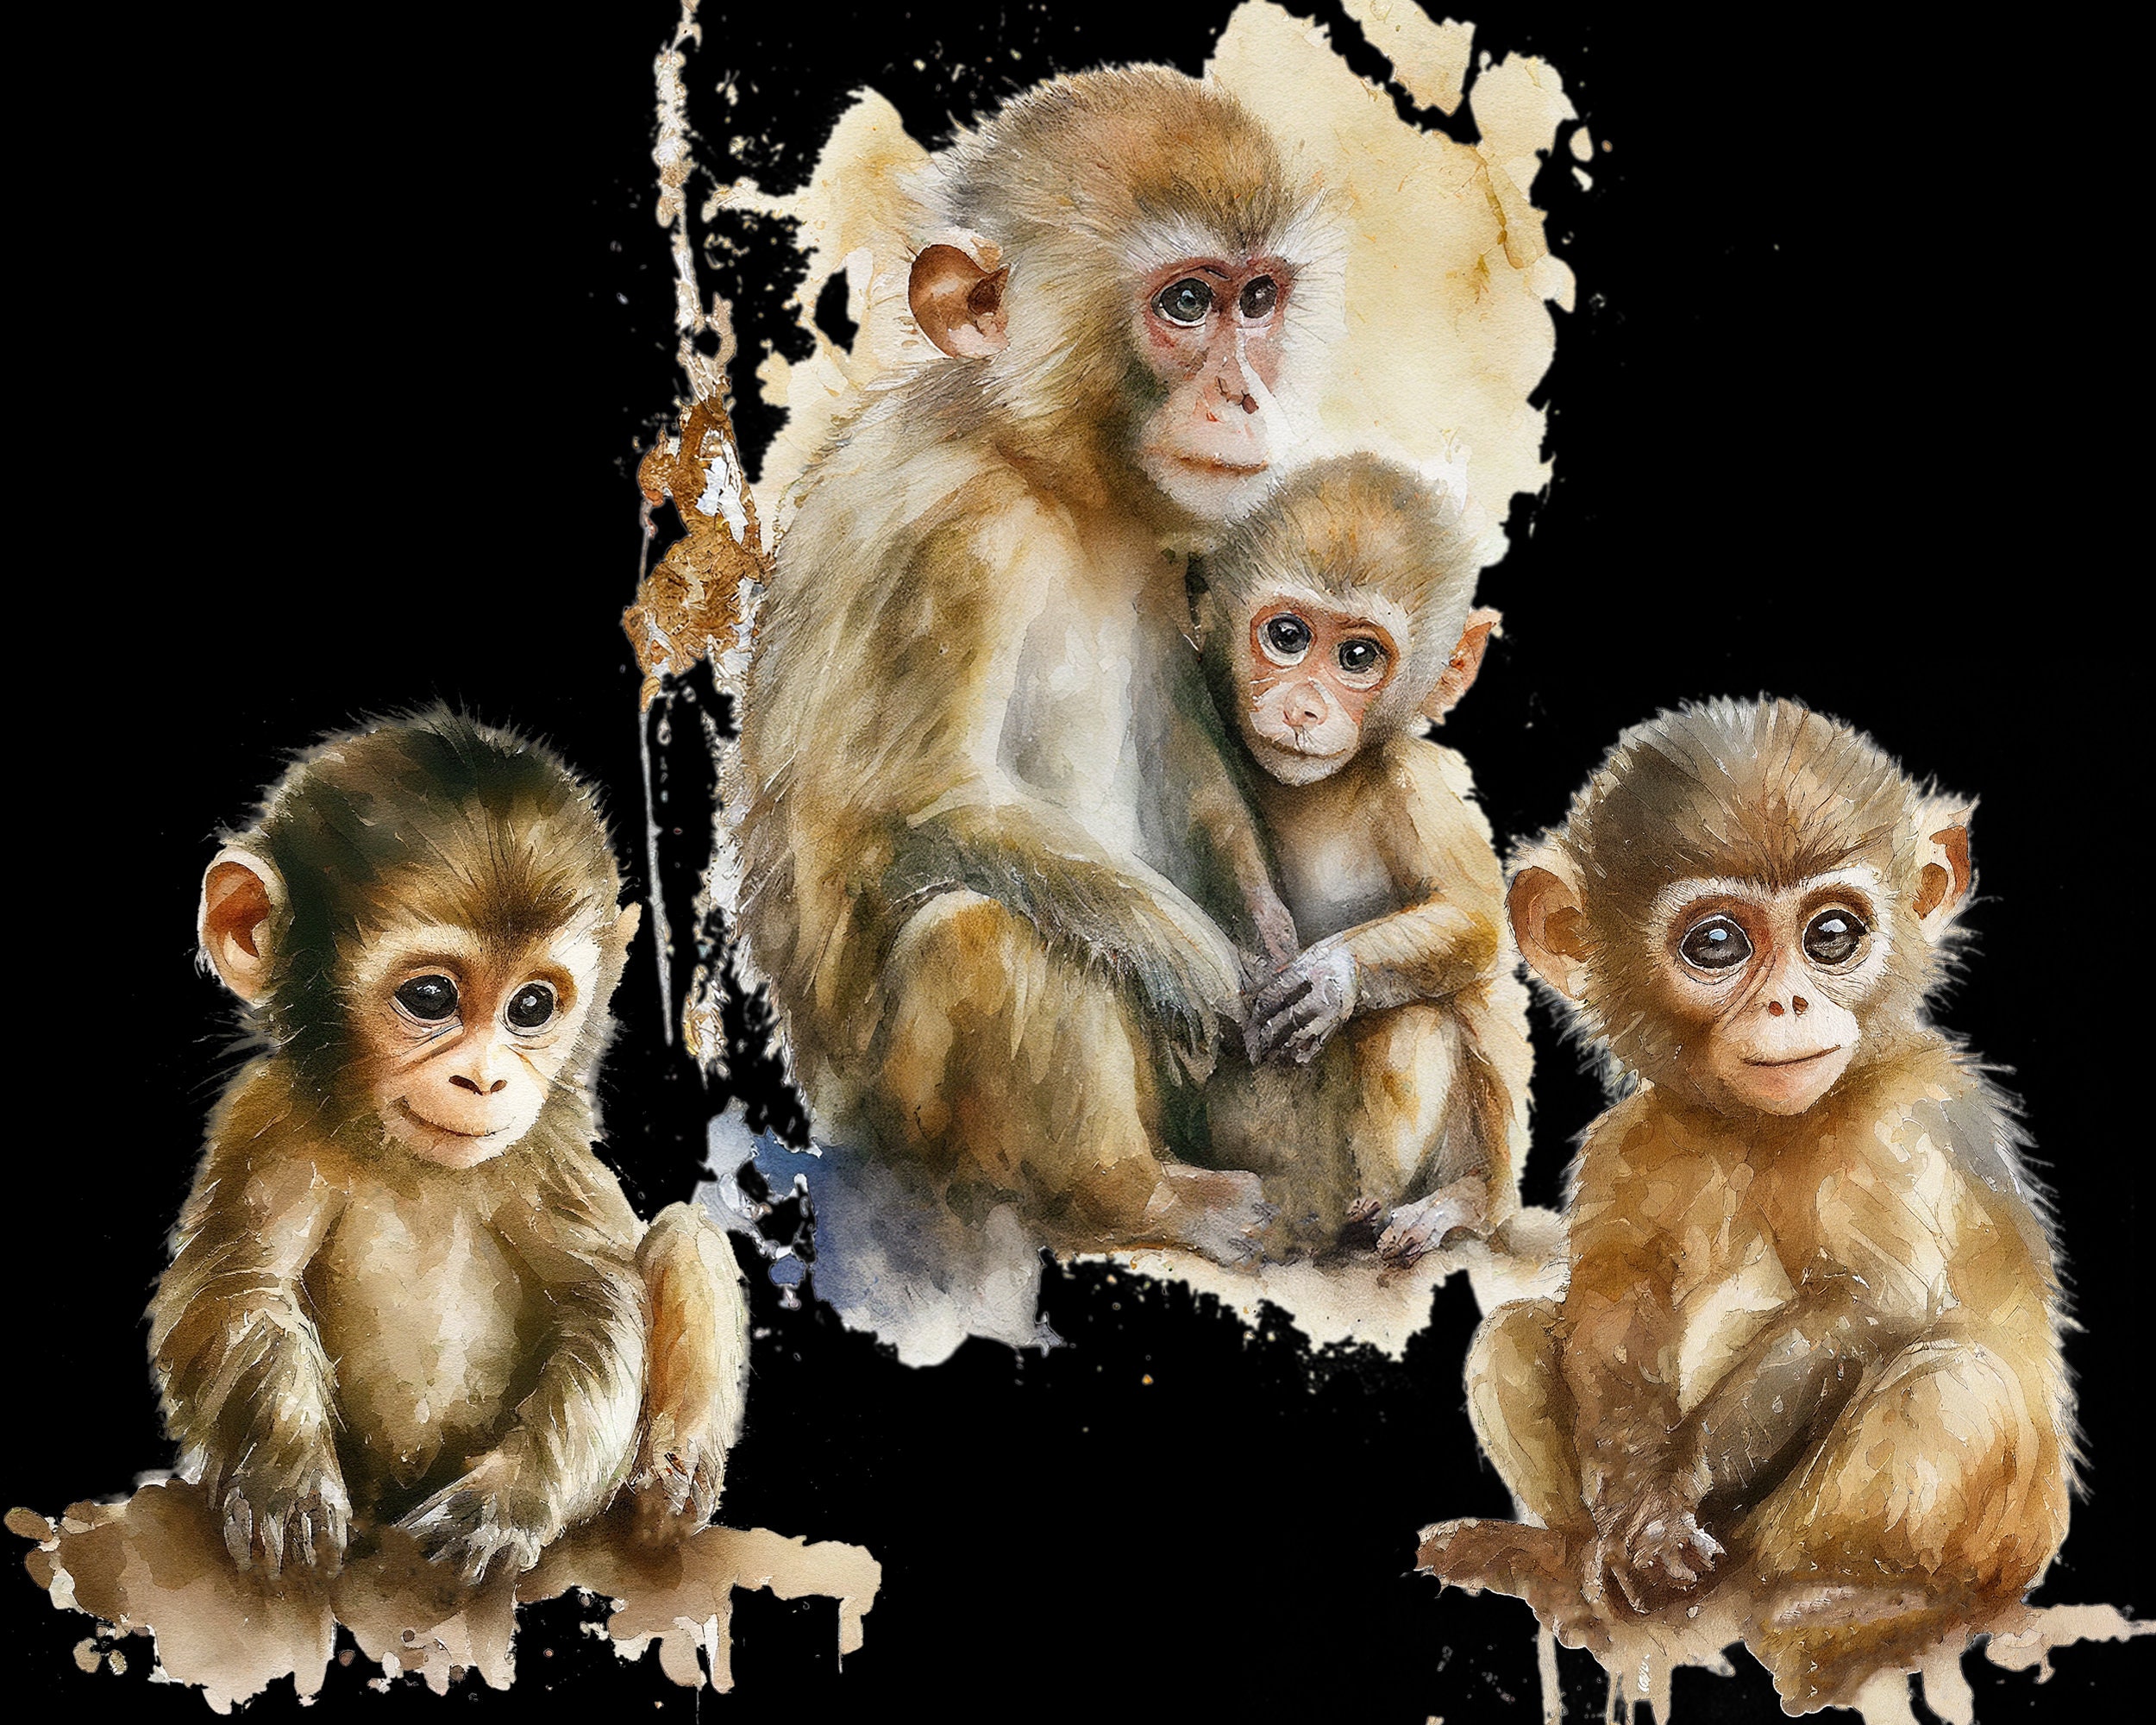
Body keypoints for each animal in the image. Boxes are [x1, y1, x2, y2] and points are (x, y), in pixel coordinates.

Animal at [152, 712, 751, 1586]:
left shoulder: (547, 1144)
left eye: (531, 1007)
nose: (484, 1079)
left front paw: (511, 1501)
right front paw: (284, 1479)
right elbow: (240, 1289)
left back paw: (669, 1488)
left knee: (683, 1232)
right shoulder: (265, 1119)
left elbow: (599, 1301)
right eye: (431, 997)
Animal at [732, 67, 1344, 1259]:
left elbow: (1180, 742)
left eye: (1256, 299)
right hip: (906, 1114)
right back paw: (1134, 1194)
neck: (1046, 472)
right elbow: (907, 796)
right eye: (1186, 302)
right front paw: (1193, 954)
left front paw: (1264, 933)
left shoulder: (1167, 549)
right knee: (987, 927)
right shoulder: (950, 540)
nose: (1247, 396)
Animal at [1185, 454, 1531, 1260]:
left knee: (1449, 998)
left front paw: (1329, 977)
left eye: (1357, 657)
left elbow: (1475, 921)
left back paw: (1463, 1200)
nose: (1306, 708)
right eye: (1287, 636)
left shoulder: (1414, 780)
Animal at [1418, 699, 2073, 1711]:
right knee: (1514, 1335)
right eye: (1718, 942)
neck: (1753, 1131)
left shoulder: (1900, 1116)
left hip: (1952, 1543)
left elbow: (1872, 1301)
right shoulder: (1625, 1142)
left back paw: (1862, 1596)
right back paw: (1558, 1553)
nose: (1789, 1002)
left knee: (1948, 1381)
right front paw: (1632, 1499)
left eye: (1832, 934)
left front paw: (1668, 1496)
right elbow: (1608, 1305)